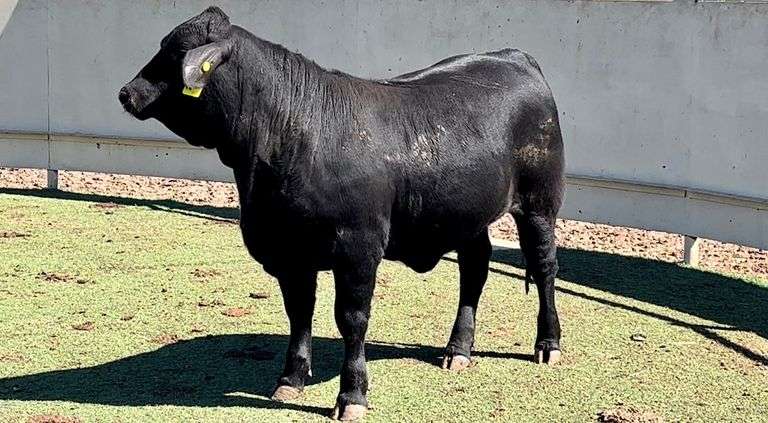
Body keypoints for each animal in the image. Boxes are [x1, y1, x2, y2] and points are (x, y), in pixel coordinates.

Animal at [119, 7, 564, 421]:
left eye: (175, 52)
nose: (127, 93)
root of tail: (511, 56)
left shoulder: (357, 249)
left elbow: (351, 320)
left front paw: (352, 396)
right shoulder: (289, 253)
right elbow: (299, 313)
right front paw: (291, 379)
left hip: (540, 202)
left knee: (544, 267)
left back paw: (547, 344)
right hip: (467, 215)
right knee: (474, 269)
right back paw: (458, 350)